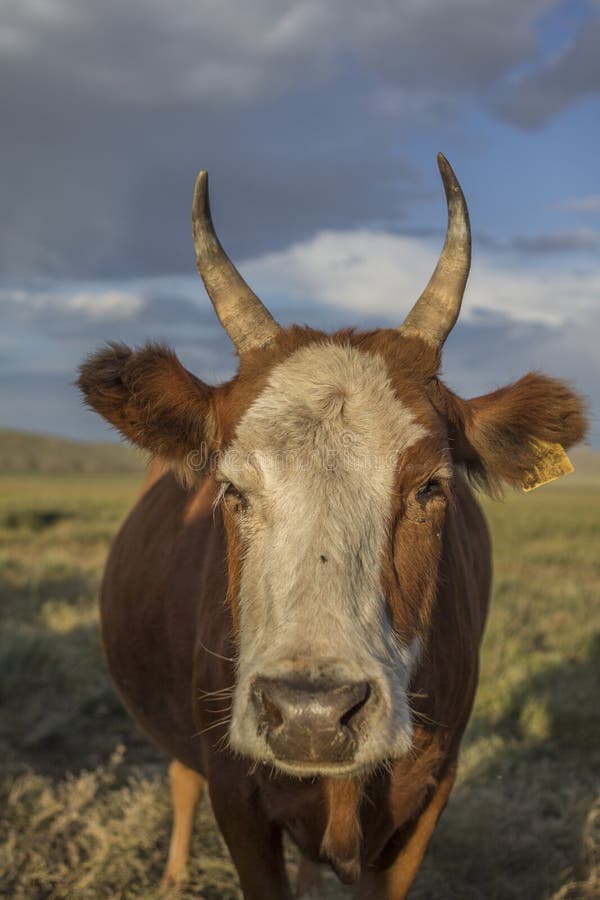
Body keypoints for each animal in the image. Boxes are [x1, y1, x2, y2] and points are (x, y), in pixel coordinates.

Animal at [78, 155, 586, 899]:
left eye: (431, 487)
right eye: (231, 489)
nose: (311, 715)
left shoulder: (429, 796)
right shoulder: (237, 795)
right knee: (179, 776)